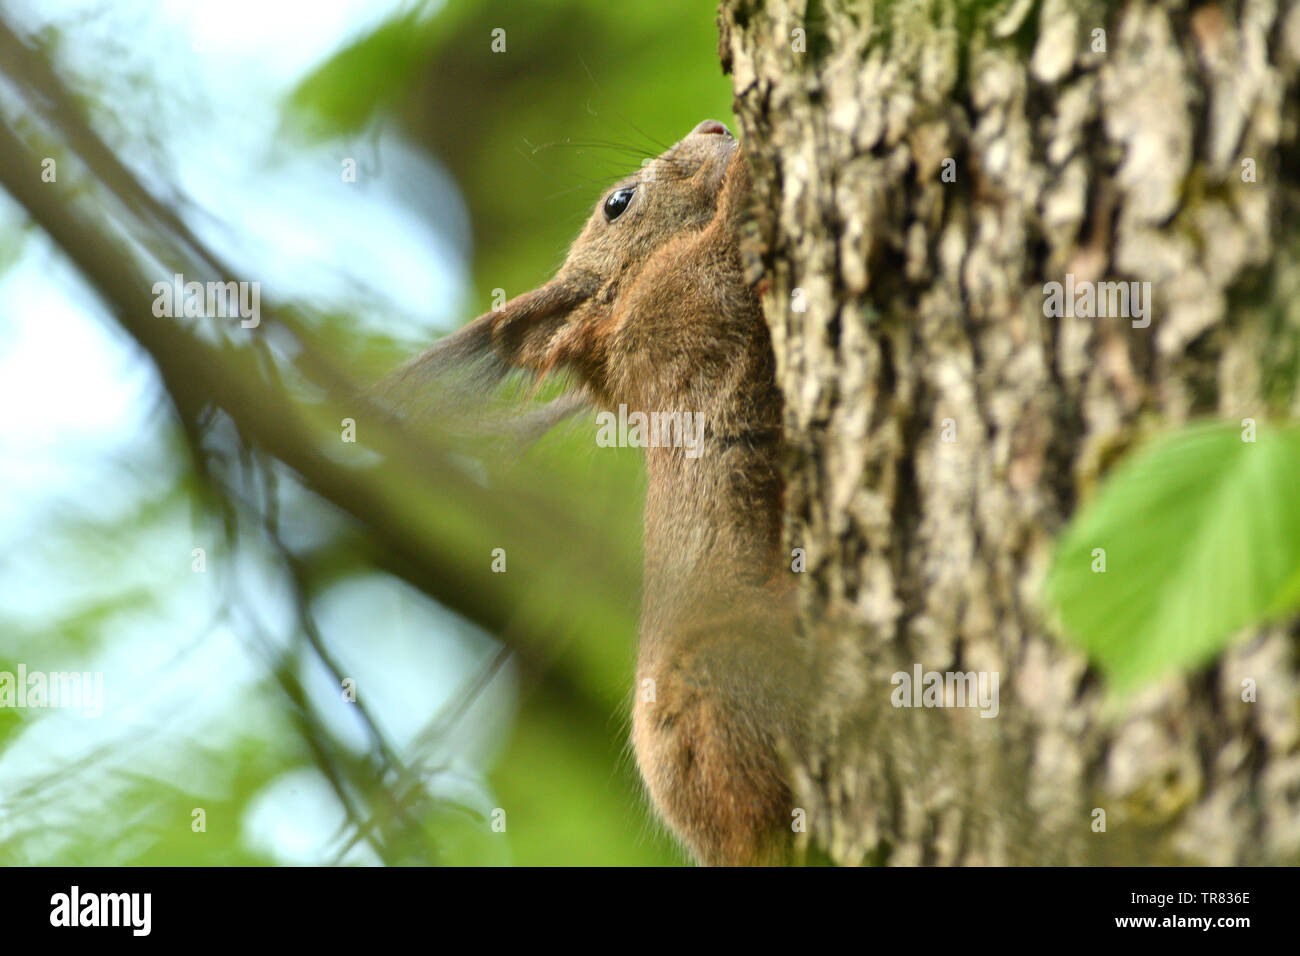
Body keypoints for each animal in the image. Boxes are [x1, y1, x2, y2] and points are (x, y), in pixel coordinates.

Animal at [387, 121, 807, 865]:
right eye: (619, 202)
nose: (713, 128)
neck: (630, 294)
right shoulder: (687, 294)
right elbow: (727, 245)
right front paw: (749, 162)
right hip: (733, 674)